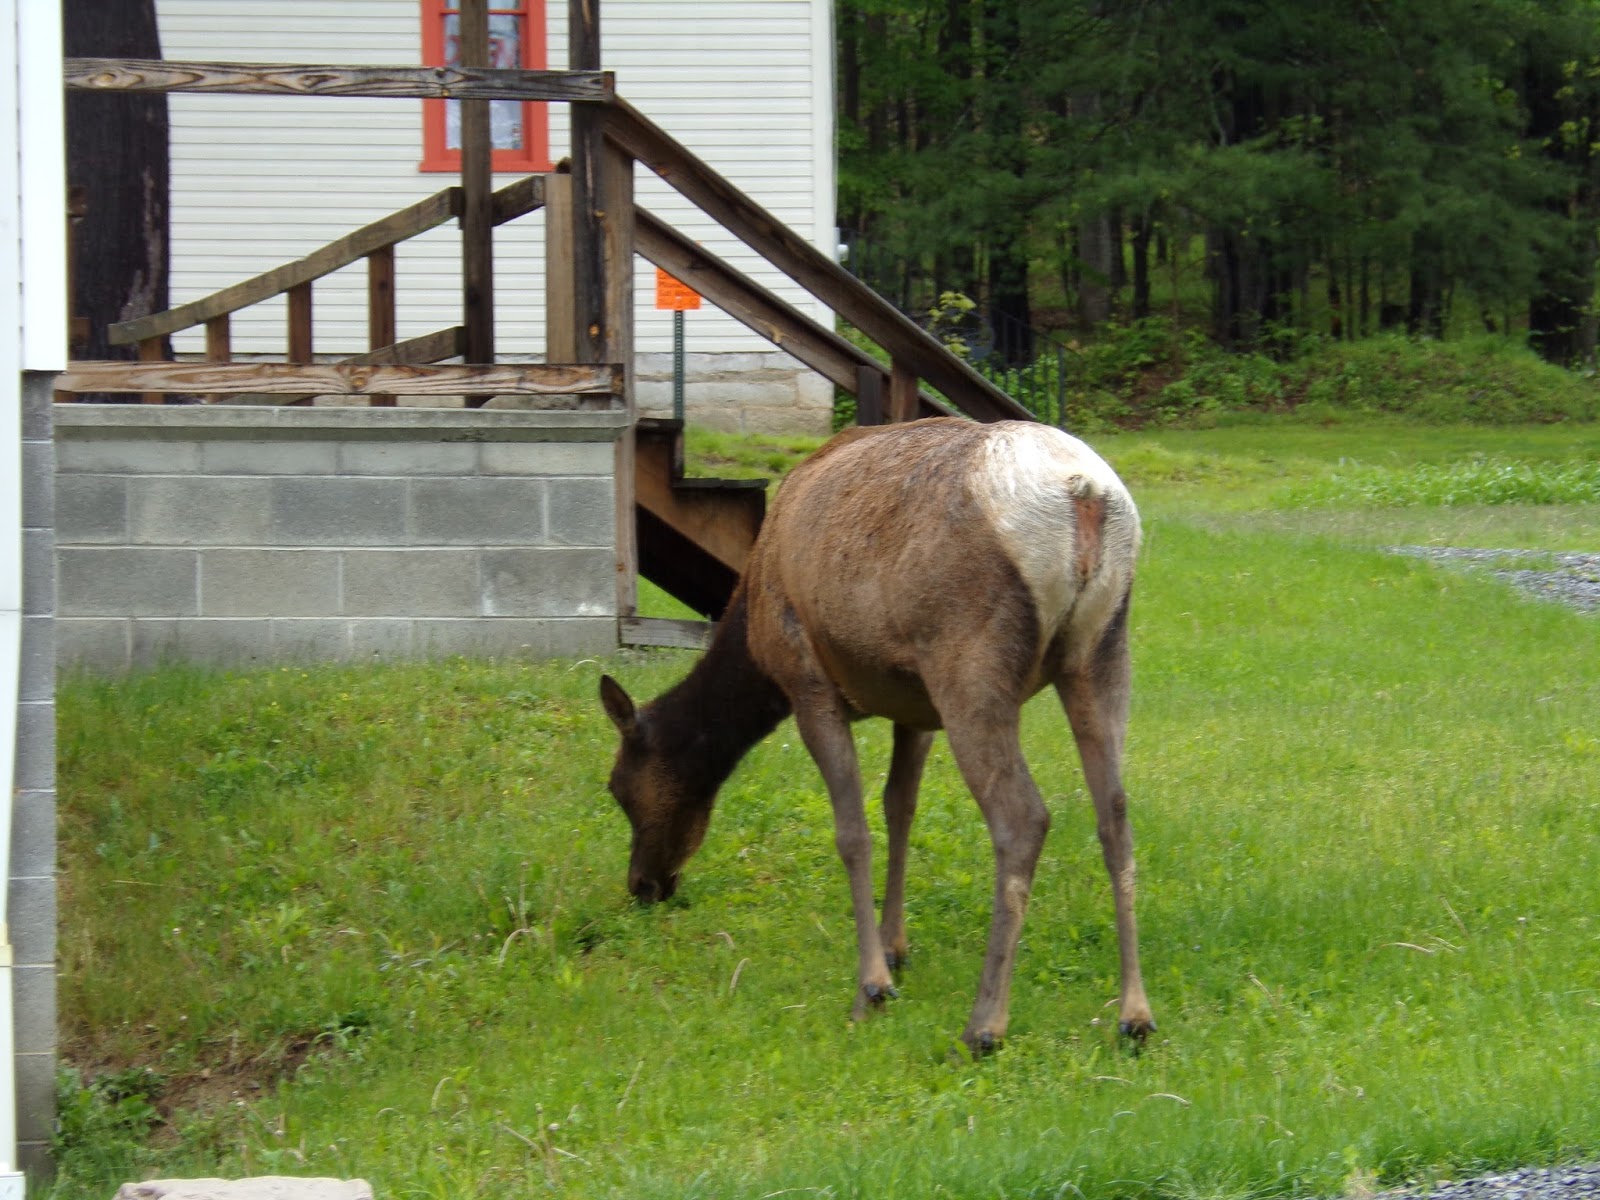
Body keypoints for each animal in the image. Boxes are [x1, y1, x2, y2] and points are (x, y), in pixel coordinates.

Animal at [599, 416, 1152, 1054]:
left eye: (617, 788)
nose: (642, 883)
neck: (752, 642)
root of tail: (1082, 493)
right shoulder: (914, 709)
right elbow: (899, 809)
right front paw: (895, 947)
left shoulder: (807, 680)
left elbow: (852, 832)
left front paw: (873, 986)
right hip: (1102, 648)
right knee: (1115, 813)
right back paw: (1134, 1013)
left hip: (969, 660)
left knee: (1023, 818)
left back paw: (985, 1023)